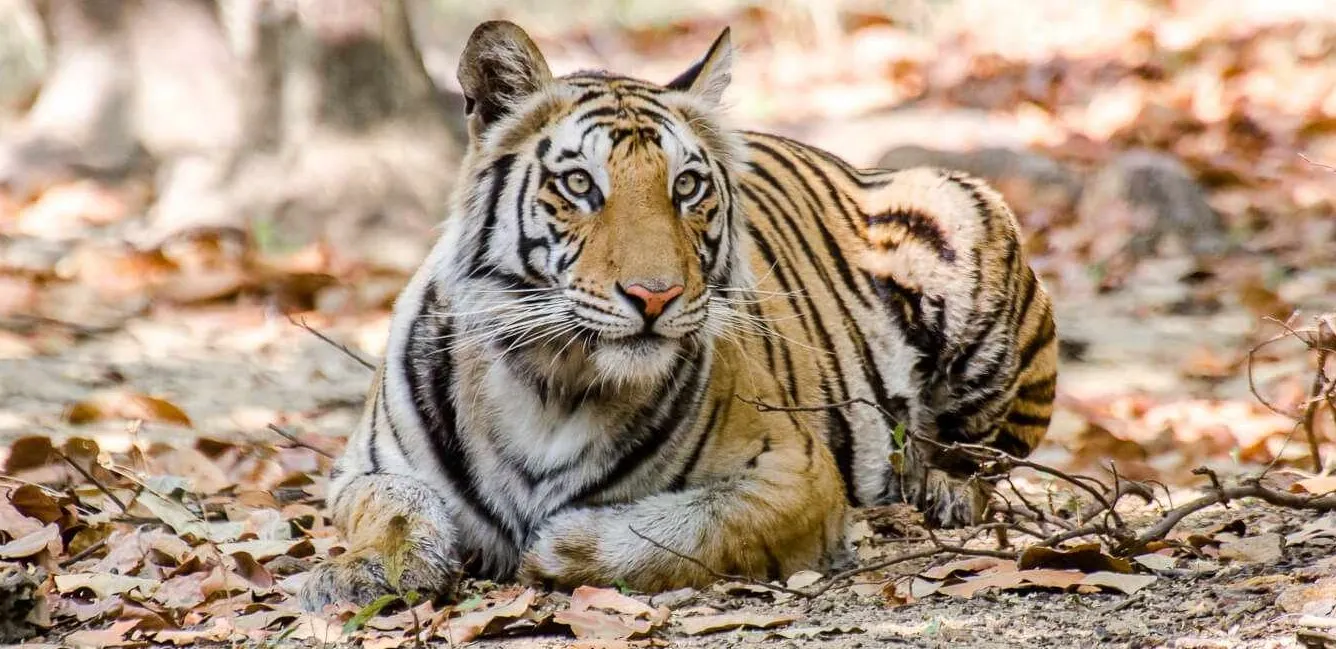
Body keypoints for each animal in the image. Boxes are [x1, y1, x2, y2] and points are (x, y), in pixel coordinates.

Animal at [298, 20, 1057, 610]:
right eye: (581, 184)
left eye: (686, 186)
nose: (654, 296)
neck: (551, 382)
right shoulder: (361, 470)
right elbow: (395, 510)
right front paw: (359, 574)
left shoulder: (794, 474)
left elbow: (686, 525)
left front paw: (559, 544)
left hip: (963, 226)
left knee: (986, 460)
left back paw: (942, 491)